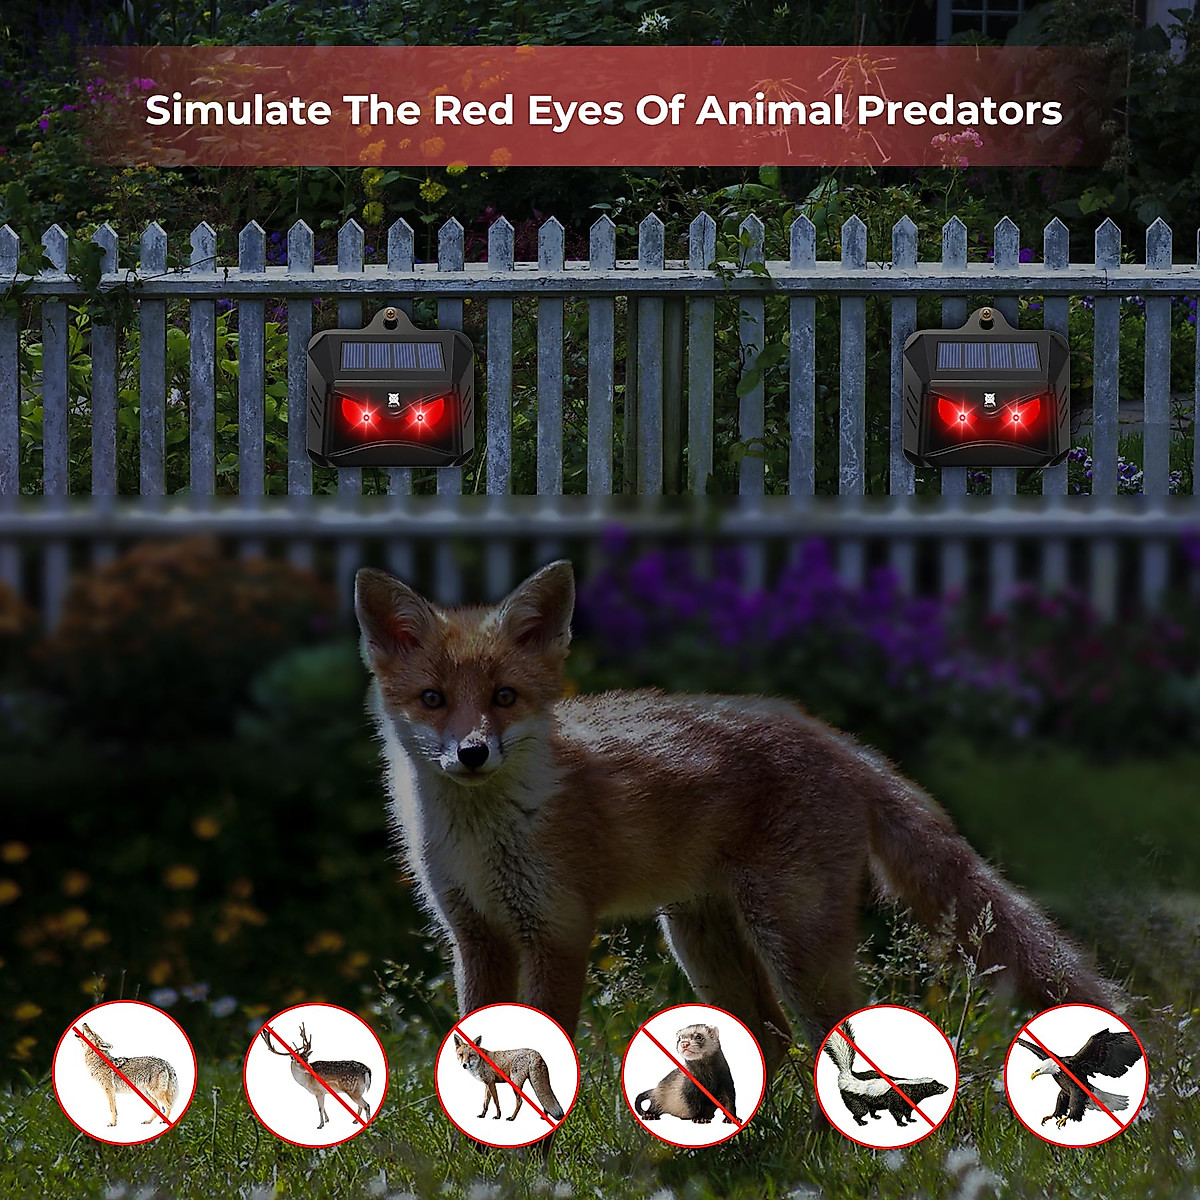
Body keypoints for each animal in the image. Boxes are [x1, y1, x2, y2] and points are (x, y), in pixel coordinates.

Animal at [354, 560, 1118, 1082]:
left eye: (505, 697)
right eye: (433, 699)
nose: (472, 753)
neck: (482, 839)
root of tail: (829, 735)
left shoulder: (557, 930)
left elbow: (544, 1047)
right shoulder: (475, 935)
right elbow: (474, 1049)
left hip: (790, 942)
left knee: (833, 1039)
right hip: (703, 943)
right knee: (773, 1044)